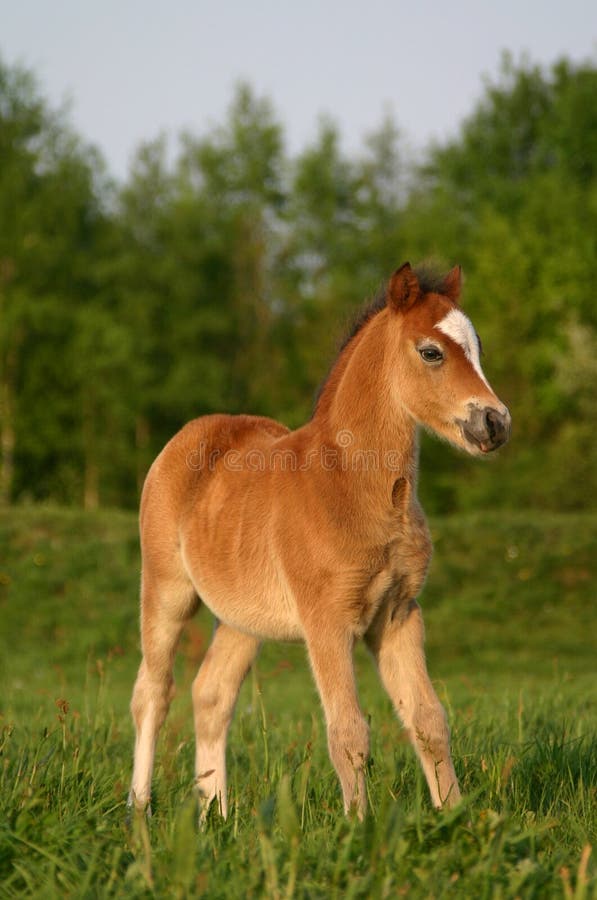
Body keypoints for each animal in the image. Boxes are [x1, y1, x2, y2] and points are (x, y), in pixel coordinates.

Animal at [129, 262, 511, 820]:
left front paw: (456, 820)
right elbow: (348, 733)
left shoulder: (398, 616)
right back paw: (139, 809)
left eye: (478, 346)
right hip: (166, 589)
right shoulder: (326, 623)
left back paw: (215, 815)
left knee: (211, 695)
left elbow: (429, 720)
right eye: (431, 352)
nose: (495, 423)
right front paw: (361, 828)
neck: (352, 486)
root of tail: (194, 433)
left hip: (242, 618)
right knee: (153, 693)